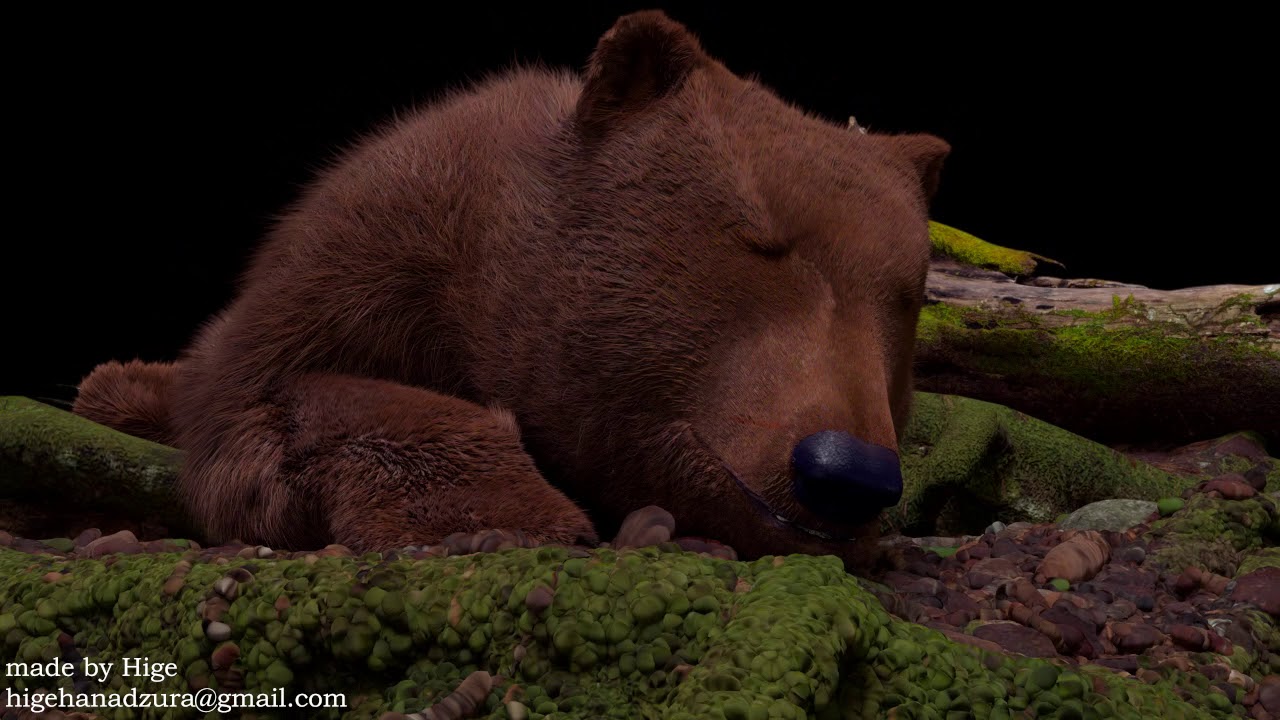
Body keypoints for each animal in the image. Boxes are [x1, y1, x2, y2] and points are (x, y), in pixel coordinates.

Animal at [73, 10, 949, 567]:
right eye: (761, 241)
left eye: (904, 294)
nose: (847, 469)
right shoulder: (373, 244)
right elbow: (264, 403)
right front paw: (501, 516)